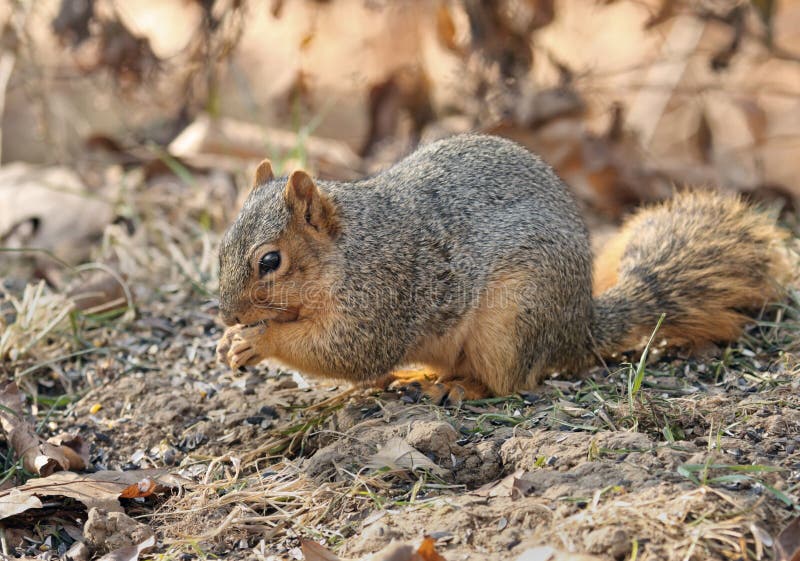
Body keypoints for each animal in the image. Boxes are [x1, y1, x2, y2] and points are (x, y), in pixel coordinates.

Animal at [215, 134, 791, 402]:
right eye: (221, 246)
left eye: (270, 261)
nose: (226, 315)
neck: (350, 248)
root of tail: (577, 327)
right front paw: (232, 344)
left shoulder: (381, 295)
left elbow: (345, 350)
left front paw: (259, 340)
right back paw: (424, 373)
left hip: (512, 319)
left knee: (512, 382)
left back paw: (461, 388)